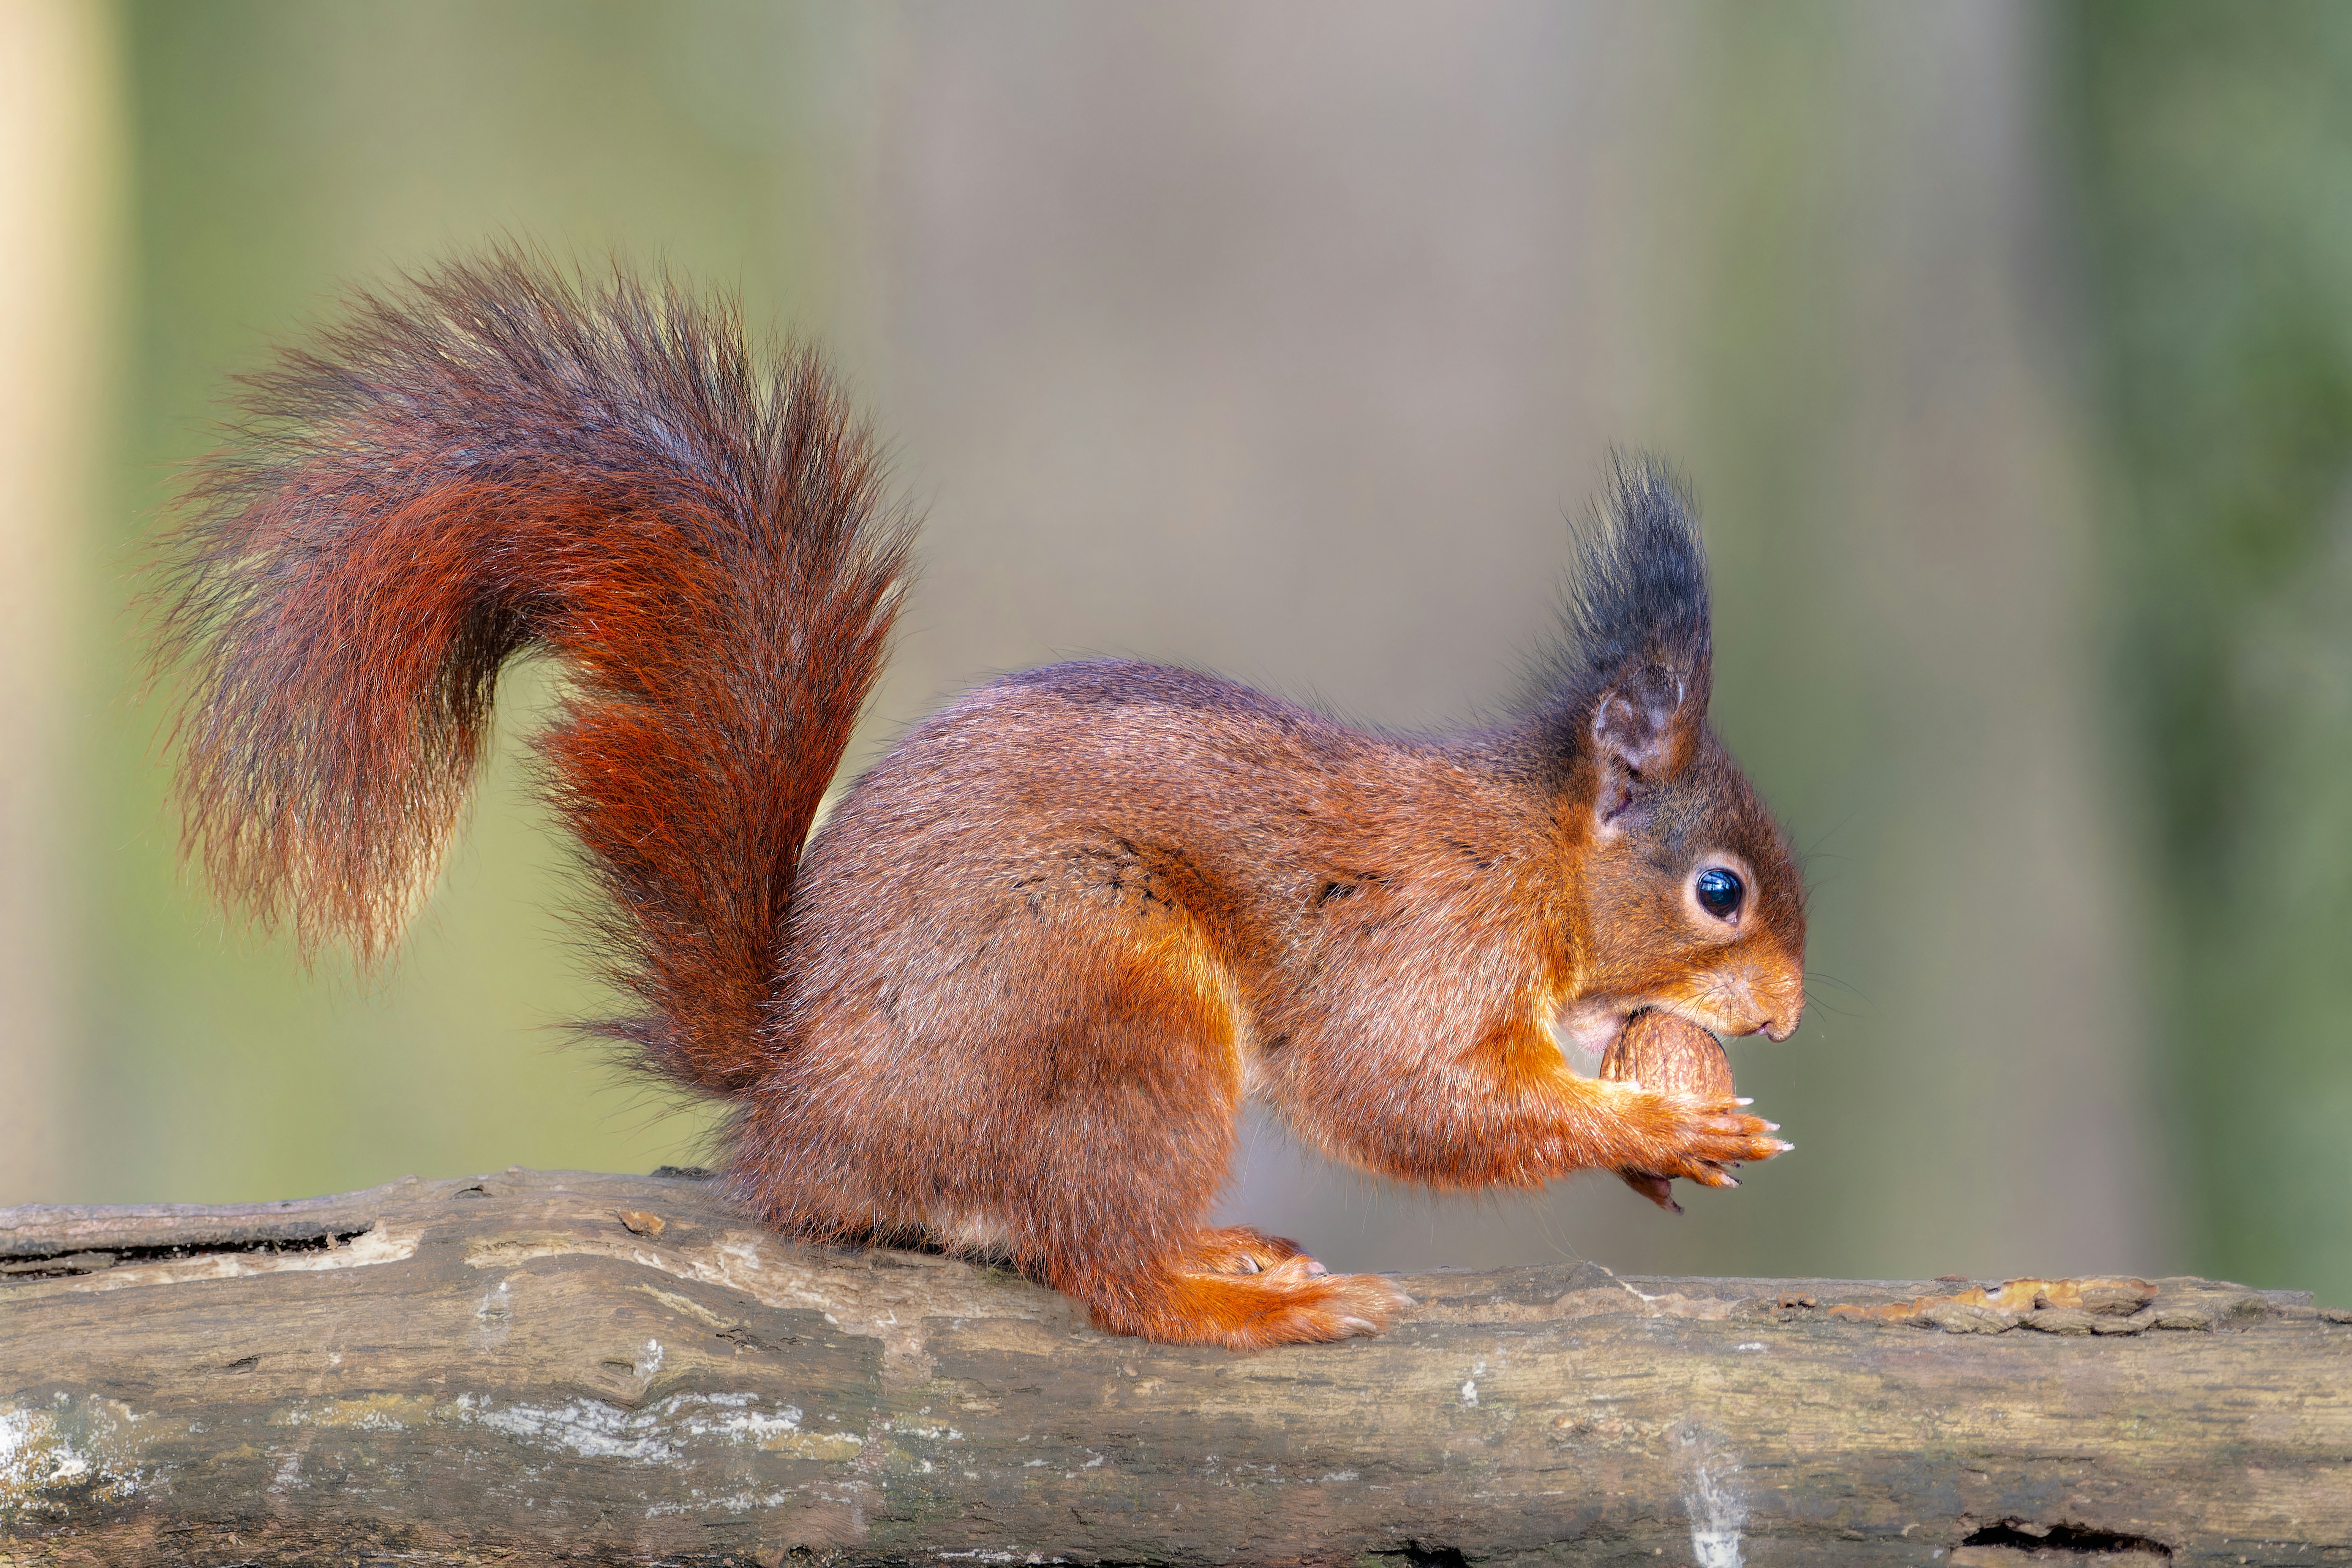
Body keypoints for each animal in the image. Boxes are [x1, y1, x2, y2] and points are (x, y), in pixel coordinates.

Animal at [153, 252, 1804, 1350]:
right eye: (1716, 889)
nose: (1785, 1018)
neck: (1527, 857)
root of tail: (803, 1108)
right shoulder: (1421, 943)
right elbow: (1406, 1095)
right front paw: (1654, 1126)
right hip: (1112, 1000)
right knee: (1103, 1268)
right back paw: (1236, 1299)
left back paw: (1231, 1249)